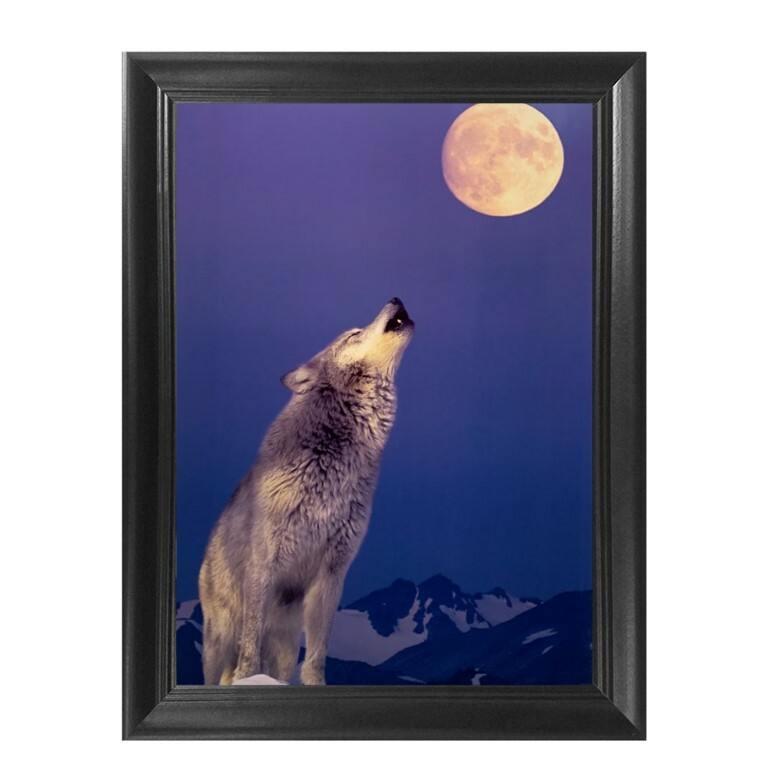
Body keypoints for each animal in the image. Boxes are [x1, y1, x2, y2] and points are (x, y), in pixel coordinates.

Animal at [198, 297, 414, 685]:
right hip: (218, 640)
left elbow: (317, 654)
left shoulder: (333, 572)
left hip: (285, 644)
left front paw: (316, 686)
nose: (396, 299)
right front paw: (248, 678)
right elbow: (251, 642)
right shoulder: (264, 562)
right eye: (353, 334)